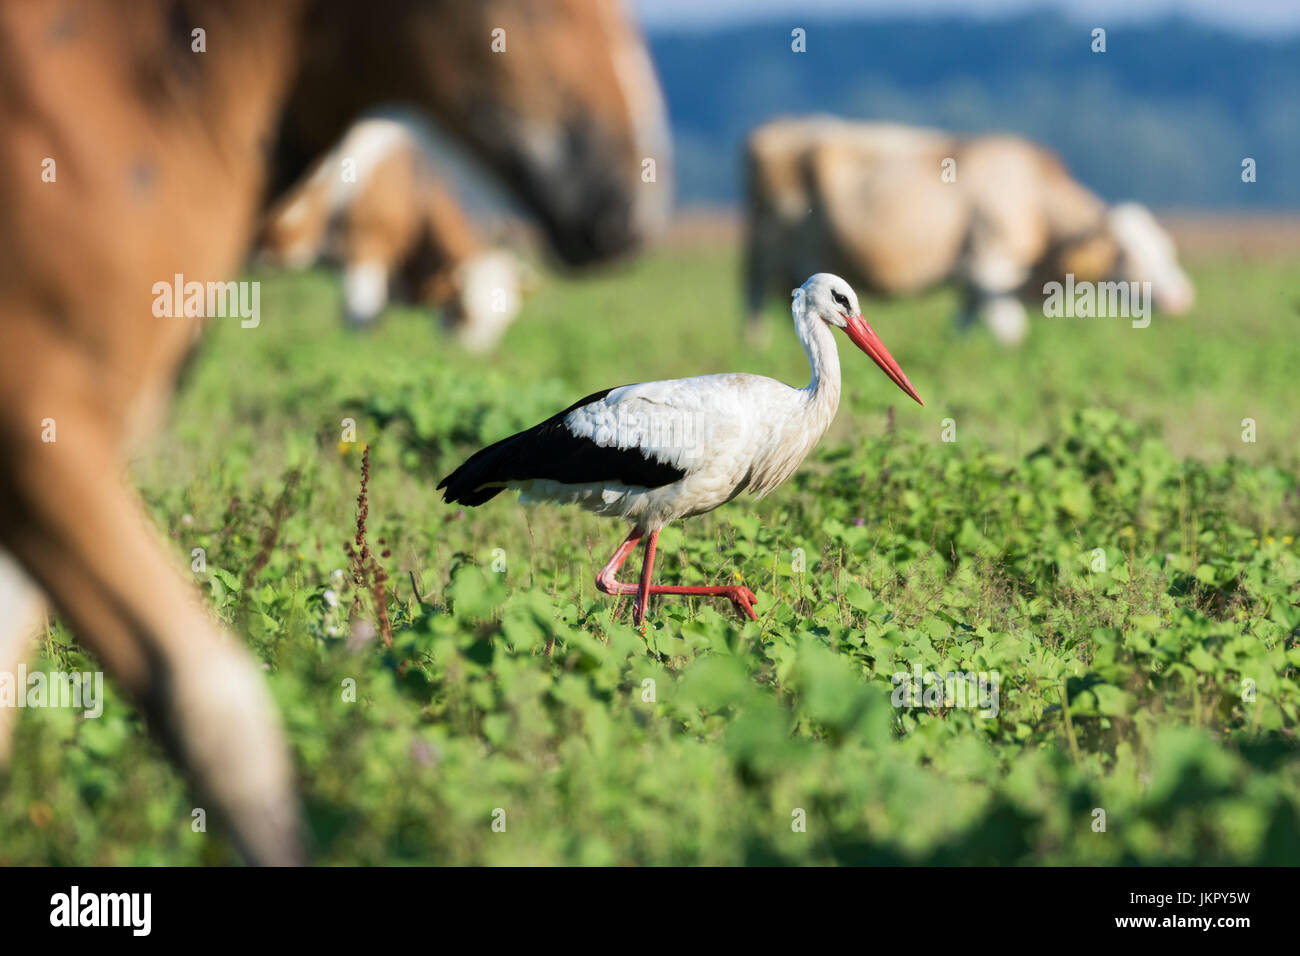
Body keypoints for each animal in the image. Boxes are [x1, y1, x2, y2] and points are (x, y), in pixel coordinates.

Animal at [743, 117, 1193, 345]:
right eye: (1126, 254)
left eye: (1168, 249)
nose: (1181, 298)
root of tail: (770, 130)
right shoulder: (988, 266)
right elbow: (1012, 335)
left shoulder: (972, 284)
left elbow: (962, 329)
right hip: (766, 248)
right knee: (754, 298)